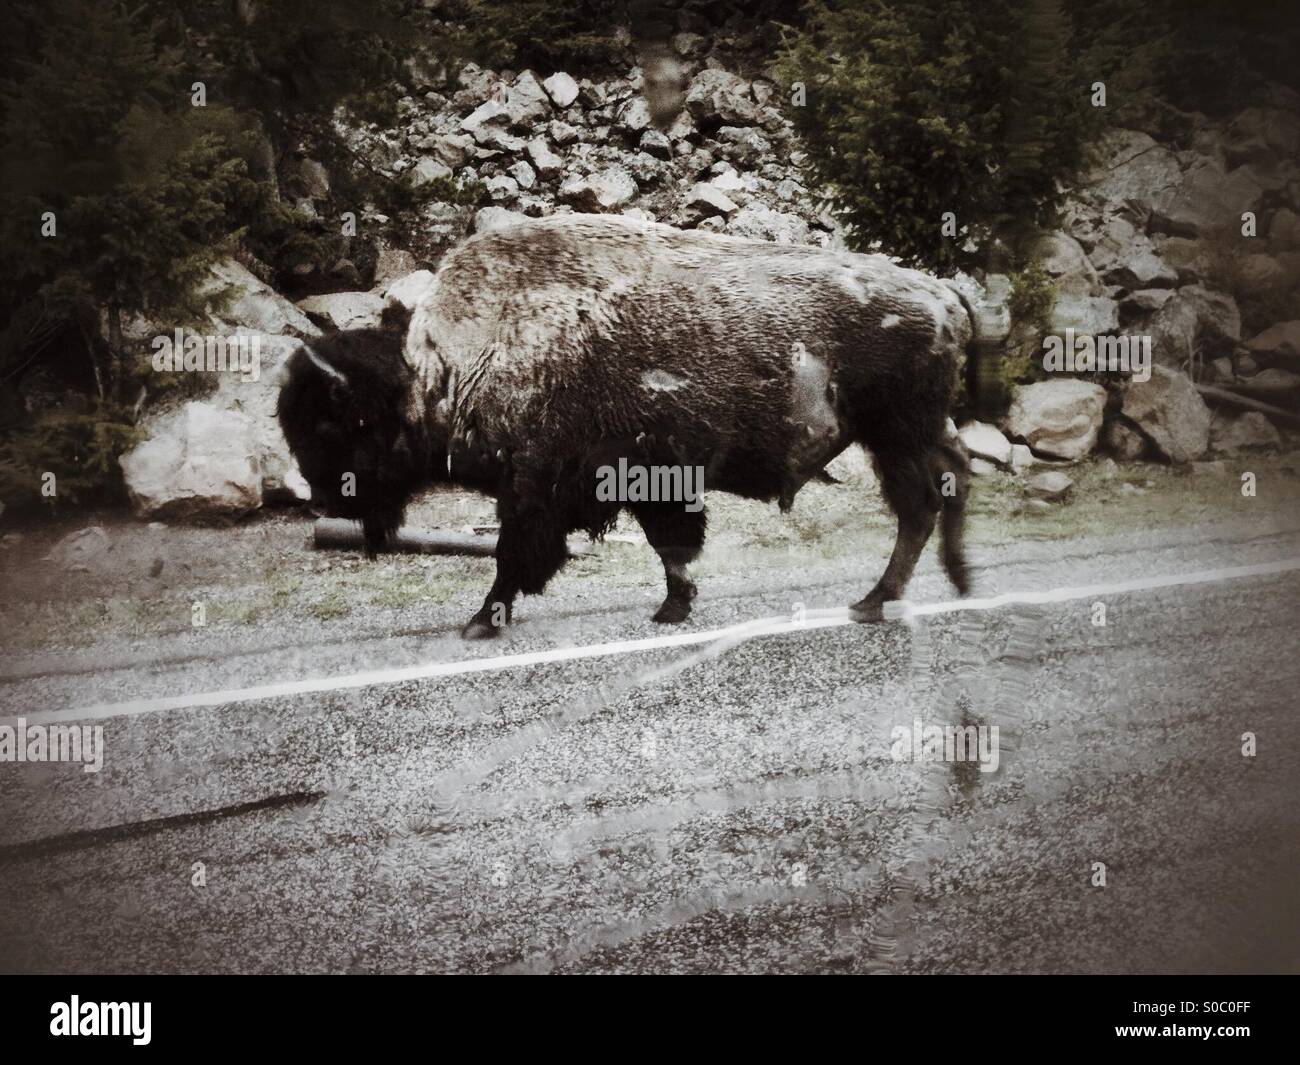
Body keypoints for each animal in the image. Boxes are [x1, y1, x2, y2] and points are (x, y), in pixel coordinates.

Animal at [277, 214, 974, 639]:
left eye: (333, 427)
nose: (323, 501)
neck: (444, 366)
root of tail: (941, 294)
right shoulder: (643, 483)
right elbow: (672, 548)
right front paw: (673, 608)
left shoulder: (538, 490)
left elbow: (514, 556)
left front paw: (482, 619)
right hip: (915, 432)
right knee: (952, 481)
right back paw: (951, 583)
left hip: (896, 435)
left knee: (919, 506)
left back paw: (875, 601)